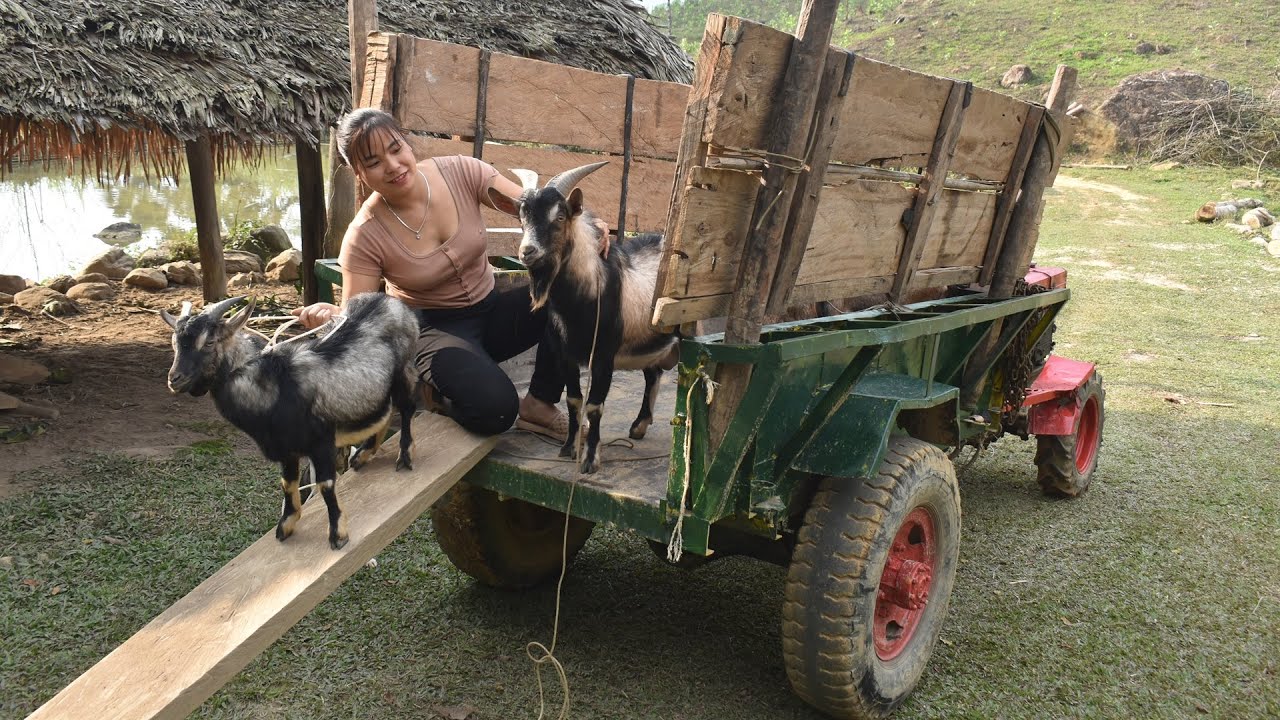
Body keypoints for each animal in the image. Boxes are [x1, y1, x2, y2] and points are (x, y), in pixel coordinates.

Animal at [161, 292, 419, 549]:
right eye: (174, 343)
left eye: (209, 342)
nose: (175, 379)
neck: (273, 385)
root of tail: (390, 301)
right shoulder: (285, 449)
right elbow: (287, 483)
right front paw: (286, 525)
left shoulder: (321, 442)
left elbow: (326, 484)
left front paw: (338, 534)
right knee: (384, 412)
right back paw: (364, 455)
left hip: (404, 372)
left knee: (406, 410)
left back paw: (405, 456)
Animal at [488, 162, 678, 474]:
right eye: (521, 217)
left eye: (560, 216)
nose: (527, 251)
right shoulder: (564, 354)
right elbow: (574, 400)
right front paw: (568, 447)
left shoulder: (603, 355)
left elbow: (594, 406)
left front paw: (590, 459)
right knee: (653, 373)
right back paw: (639, 426)